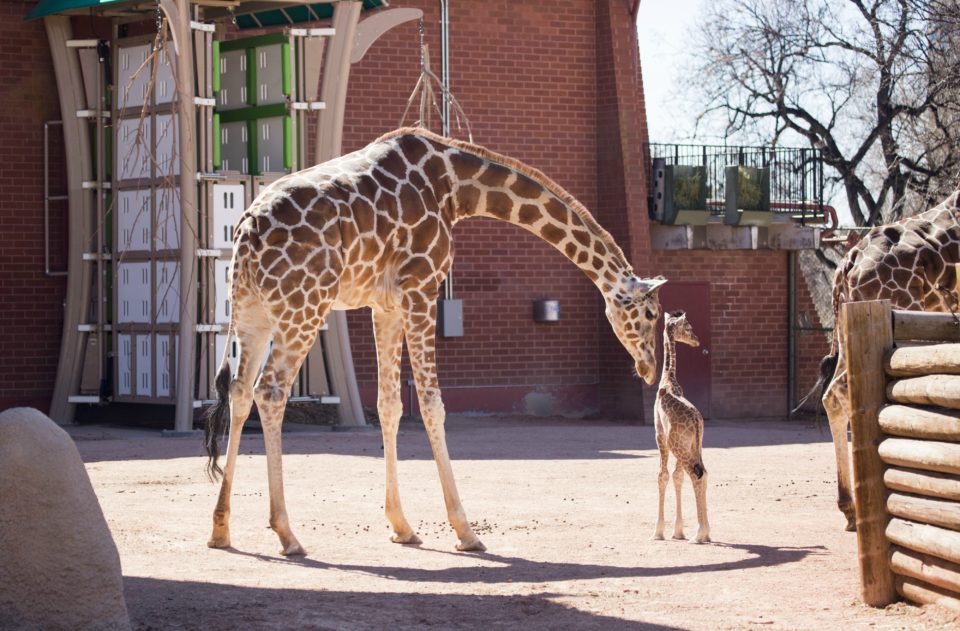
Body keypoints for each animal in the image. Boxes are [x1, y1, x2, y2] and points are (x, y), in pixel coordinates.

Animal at [203, 127, 668, 555]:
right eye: (650, 314)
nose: (648, 368)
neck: (456, 186)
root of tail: (247, 228)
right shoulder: (421, 288)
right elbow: (432, 404)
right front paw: (465, 531)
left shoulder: (386, 305)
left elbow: (389, 405)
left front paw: (402, 526)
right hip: (304, 306)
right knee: (271, 391)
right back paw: (287, 534)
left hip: (253, 313)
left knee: (240, 392)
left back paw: (221, 528)